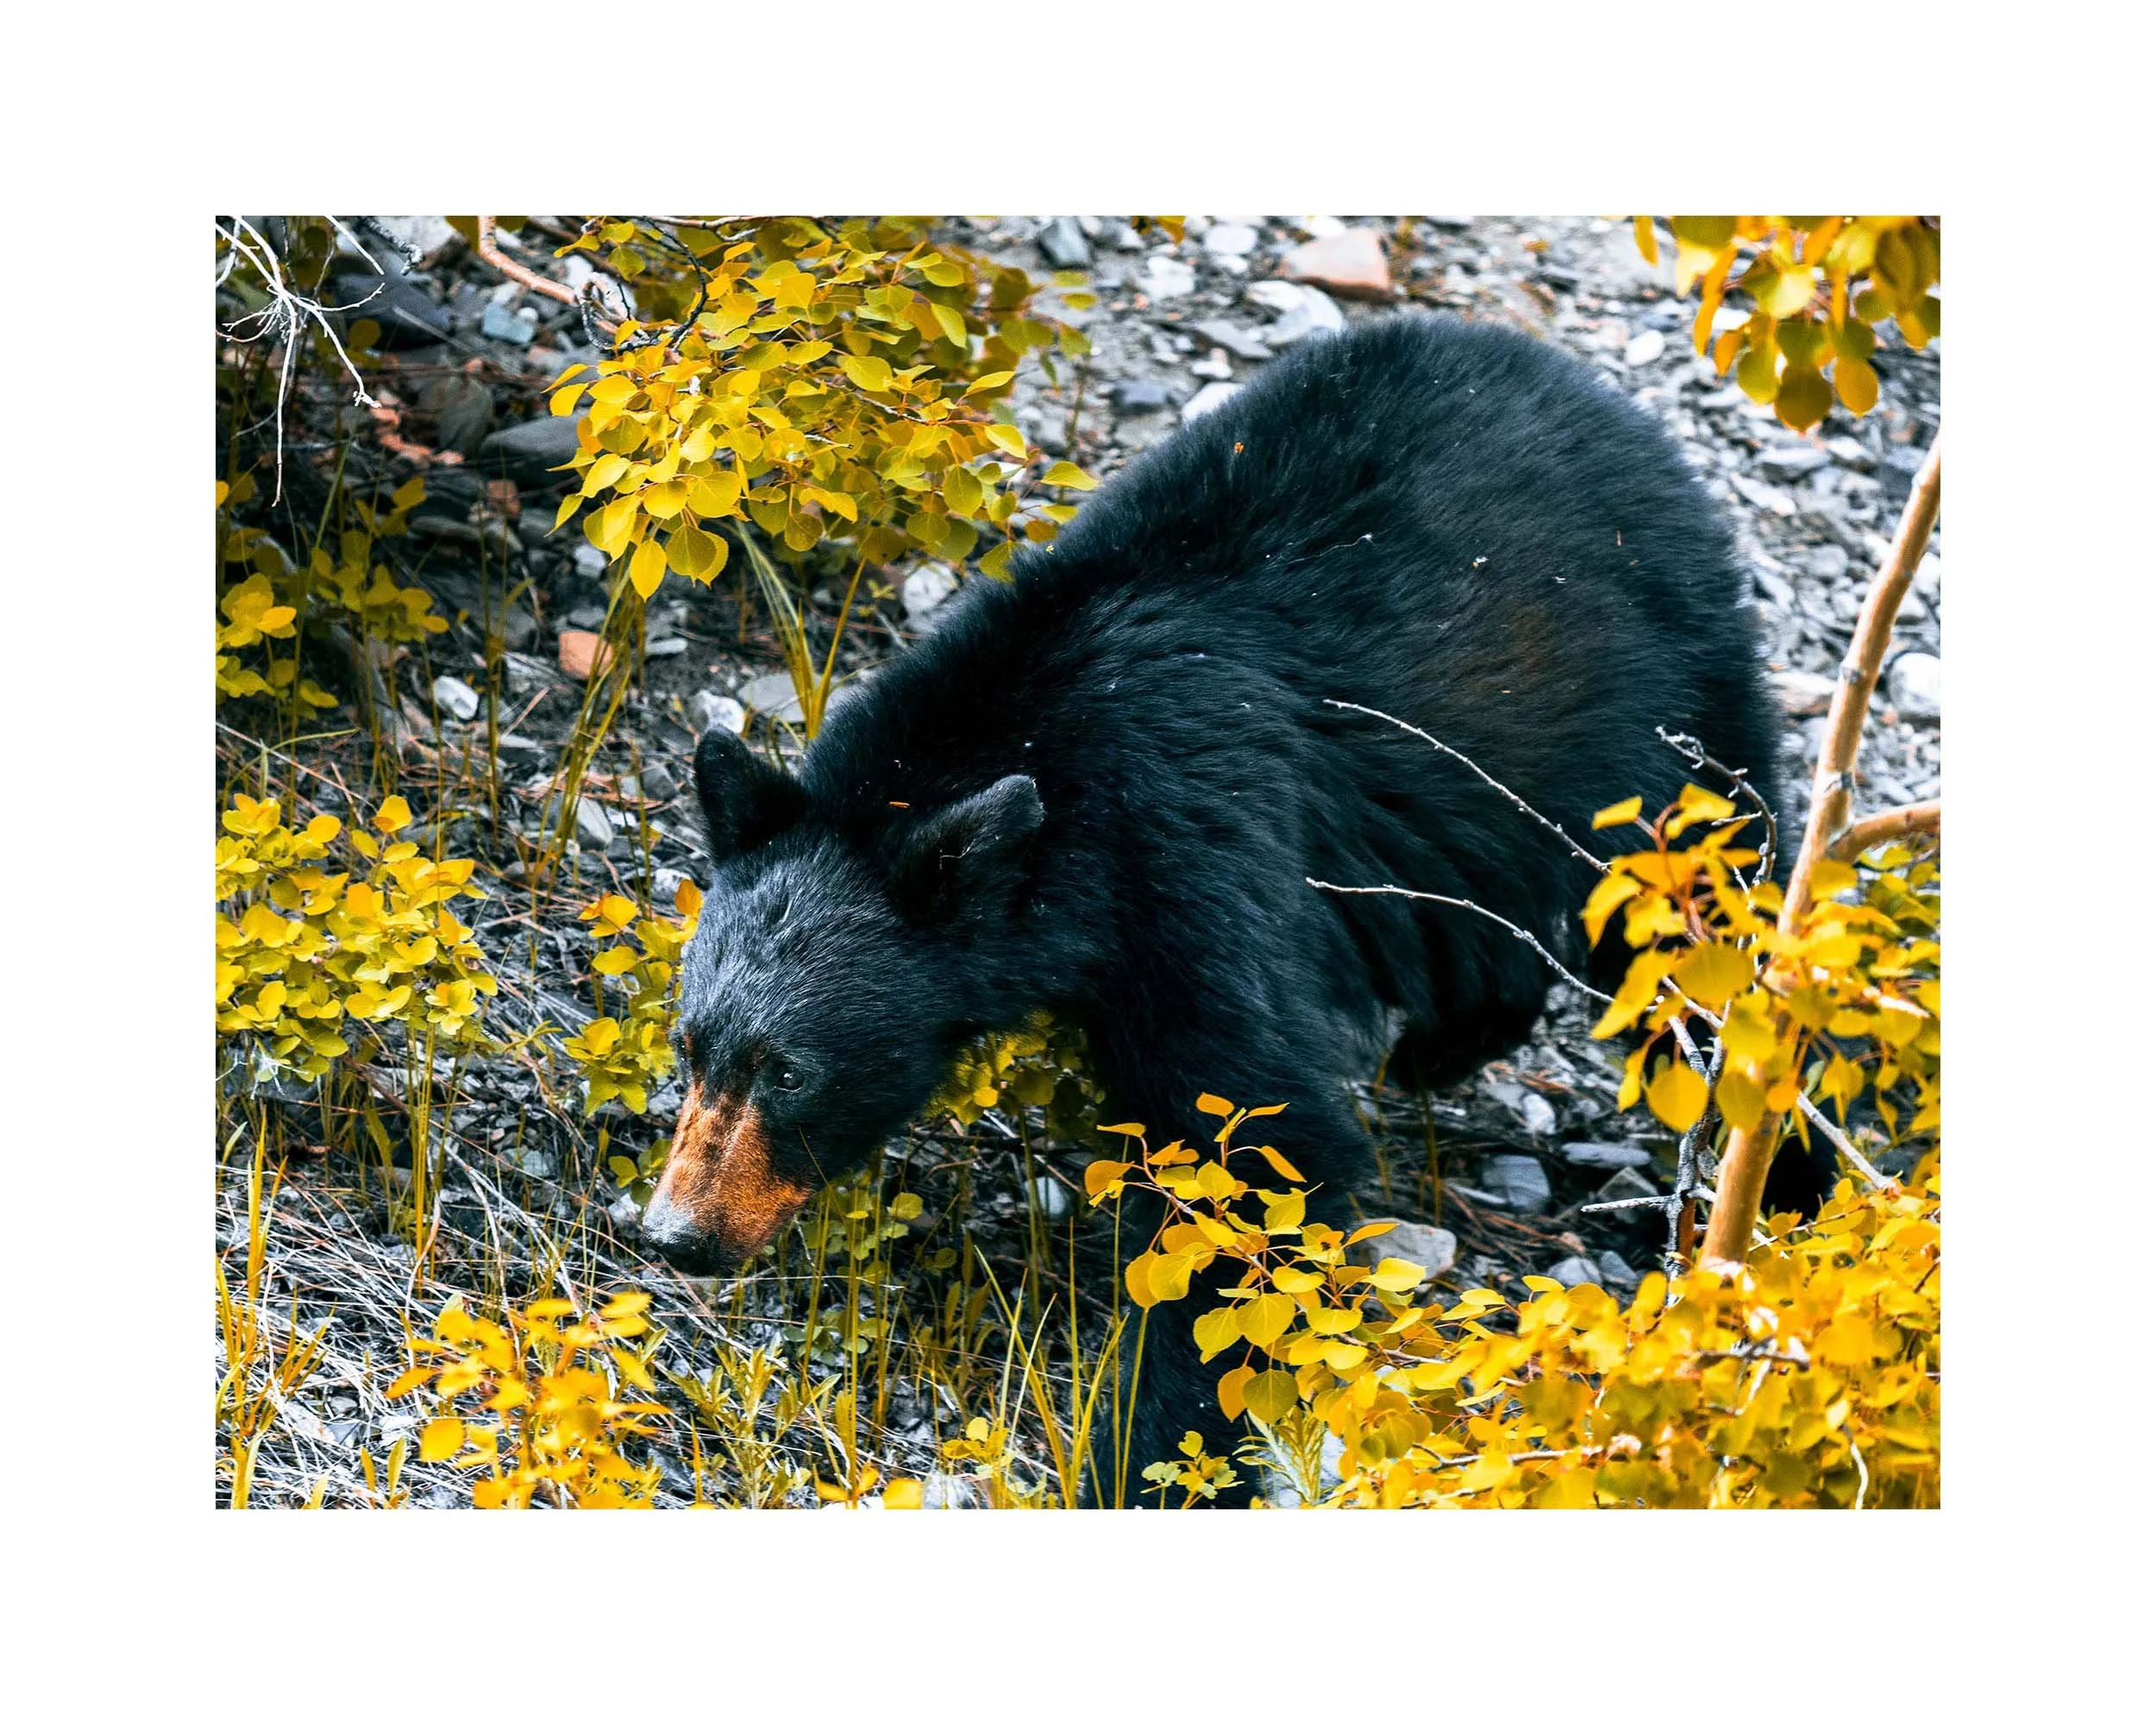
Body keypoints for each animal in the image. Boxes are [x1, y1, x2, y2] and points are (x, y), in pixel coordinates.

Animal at [642, 312, 1789, 1499]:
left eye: (791, 1070)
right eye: (690, 1045)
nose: (676, 1233)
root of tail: (1624, 413)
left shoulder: (1190, 857)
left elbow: (1252, 1153)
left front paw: (1139, 1466)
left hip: (1660, 707)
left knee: (1713, 924)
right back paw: (1448, 1046)